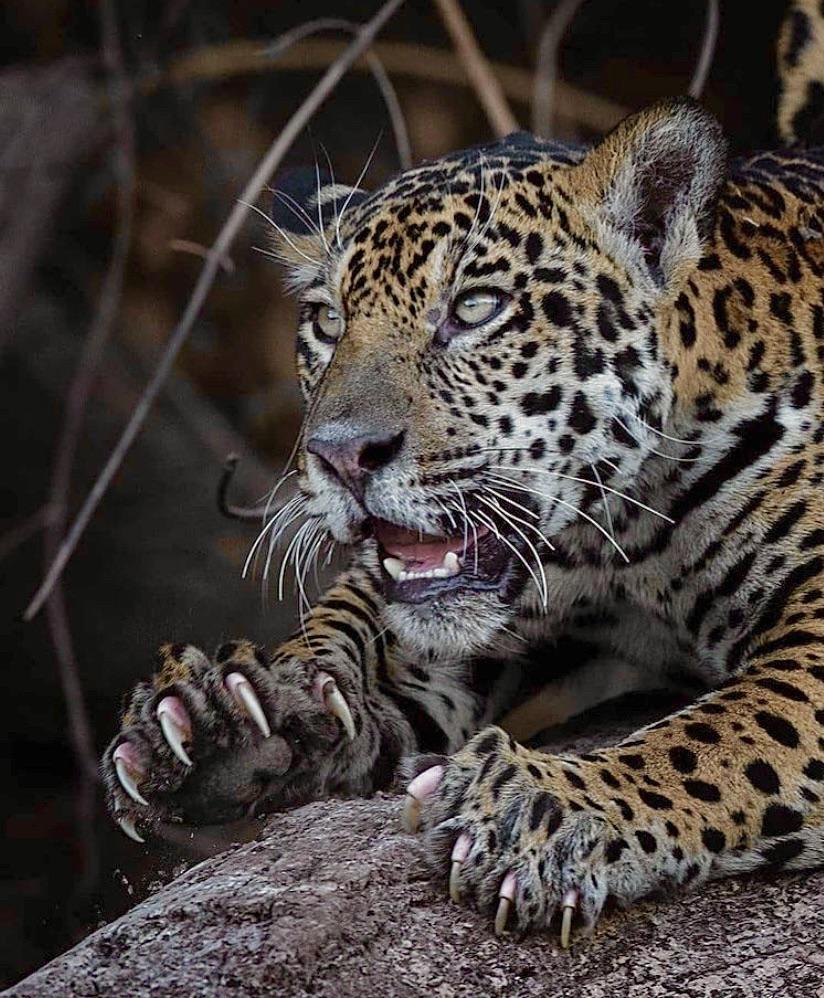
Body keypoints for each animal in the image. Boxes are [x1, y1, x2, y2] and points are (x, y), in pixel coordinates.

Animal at [102, 0, 824, 948]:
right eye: (328, 321)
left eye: (476, 308)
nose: (341, 455)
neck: (628, 537)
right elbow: (360, 615)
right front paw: (237, 713)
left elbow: (726, 734)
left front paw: (550, 810)